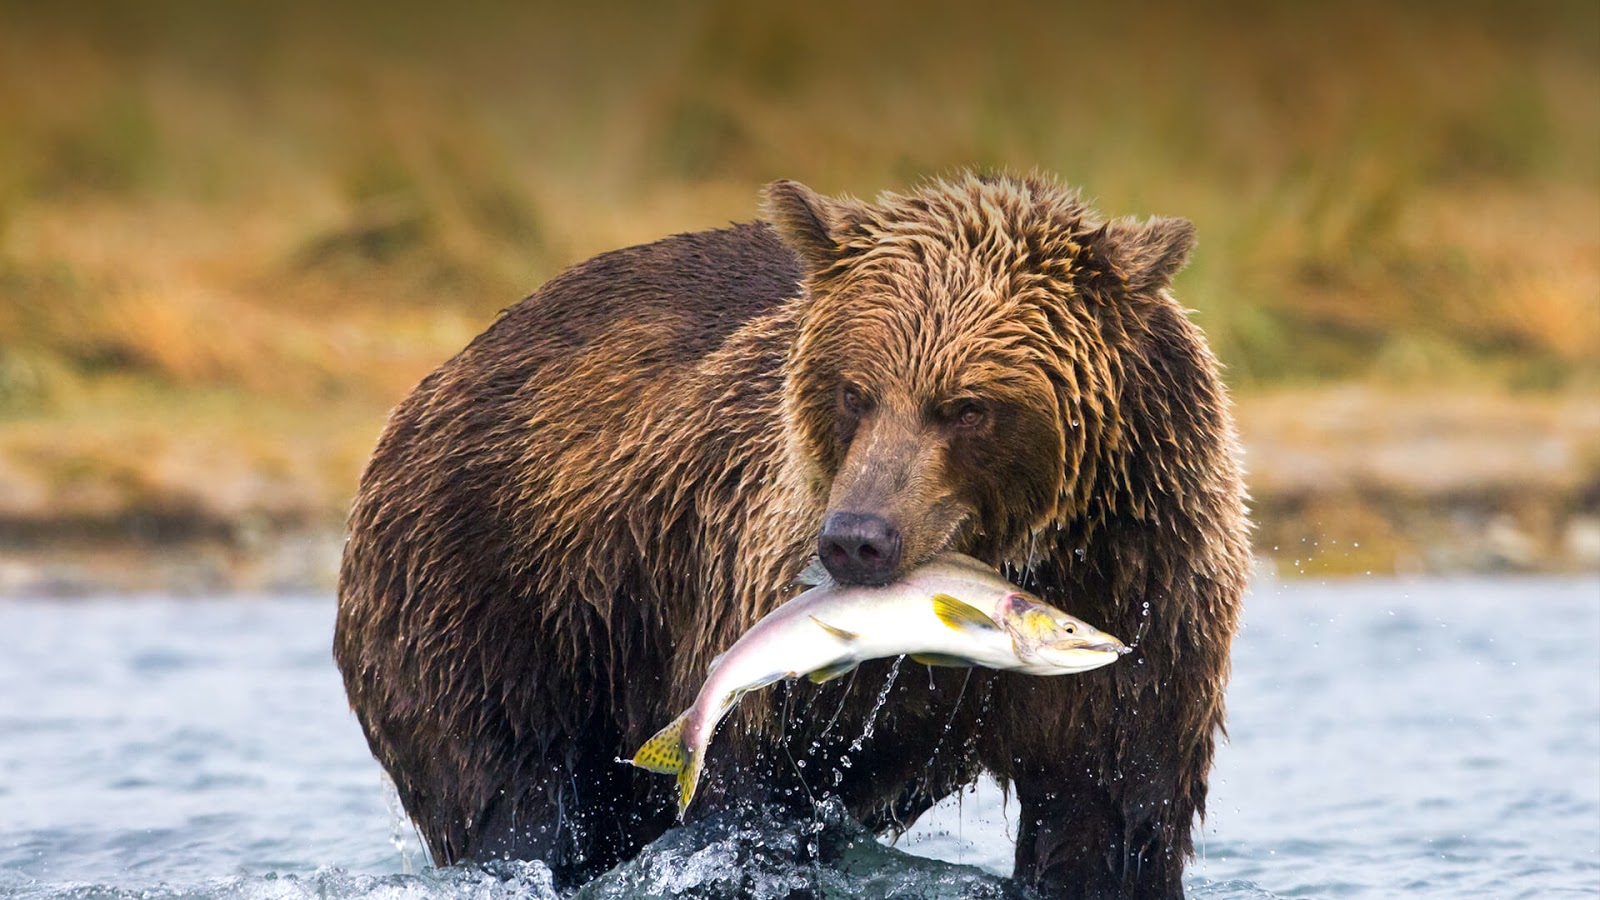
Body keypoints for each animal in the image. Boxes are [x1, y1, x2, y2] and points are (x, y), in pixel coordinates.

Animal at [334, 172, 1250, 899]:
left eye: (967, 407)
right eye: (854, 391)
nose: (856, 538)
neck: (1031, 547)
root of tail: (441, 374)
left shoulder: (1149, 599)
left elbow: (1112, 819)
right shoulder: (759, 592)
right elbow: (748, 802)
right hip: (496, 594)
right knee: (514, 800)